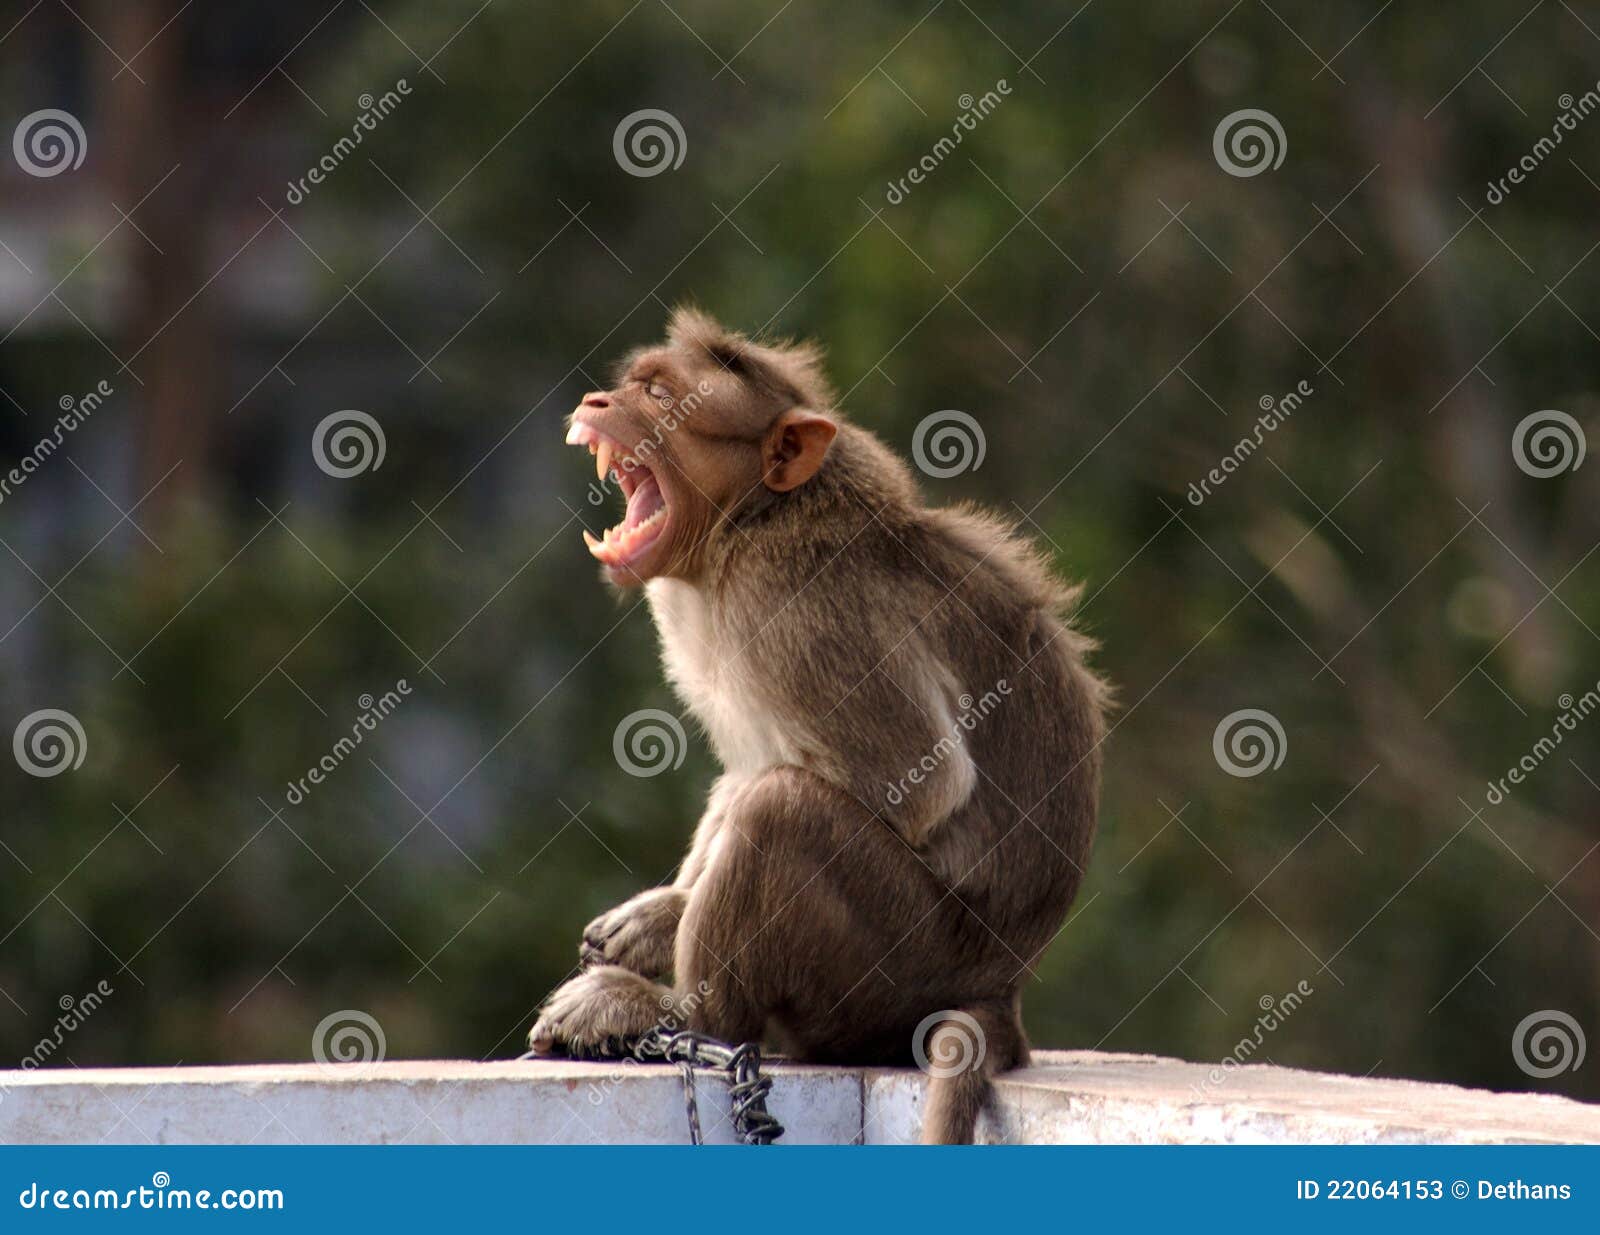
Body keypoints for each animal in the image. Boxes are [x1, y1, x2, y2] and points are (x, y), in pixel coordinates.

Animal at [530, 309, 1107, 1144]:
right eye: (634, 383)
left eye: (660, 395)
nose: (597, 402)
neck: (746, 524)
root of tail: (1002, 990)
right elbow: (745, 768)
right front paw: (659, 915)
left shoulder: (789, 607)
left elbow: (917, 784)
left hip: (895, 967)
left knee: (783, 809)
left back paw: (683, 1015)